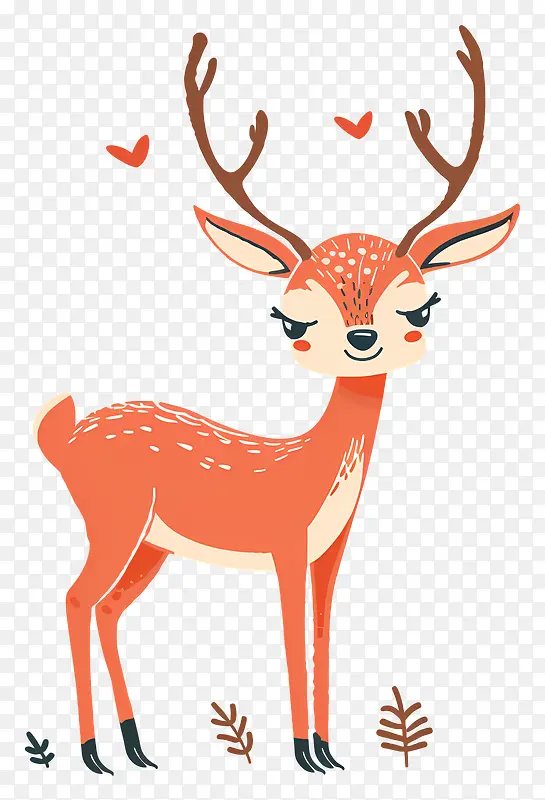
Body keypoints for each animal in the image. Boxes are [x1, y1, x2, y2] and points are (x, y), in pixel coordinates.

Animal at [34, 27, 519, 776]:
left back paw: (137, 747)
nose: (361, 339)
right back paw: (91, 754)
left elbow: (321, 632)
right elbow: (291, 636)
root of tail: (63, 436)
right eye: (293, 320)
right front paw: (304, 755)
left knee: (109, 608)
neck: (317, 469)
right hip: (113, 520)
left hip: (151, 543)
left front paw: (330, 750)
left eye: (420, 308)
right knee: (76, 596)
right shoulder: (285, 544)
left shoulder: (330, 552)